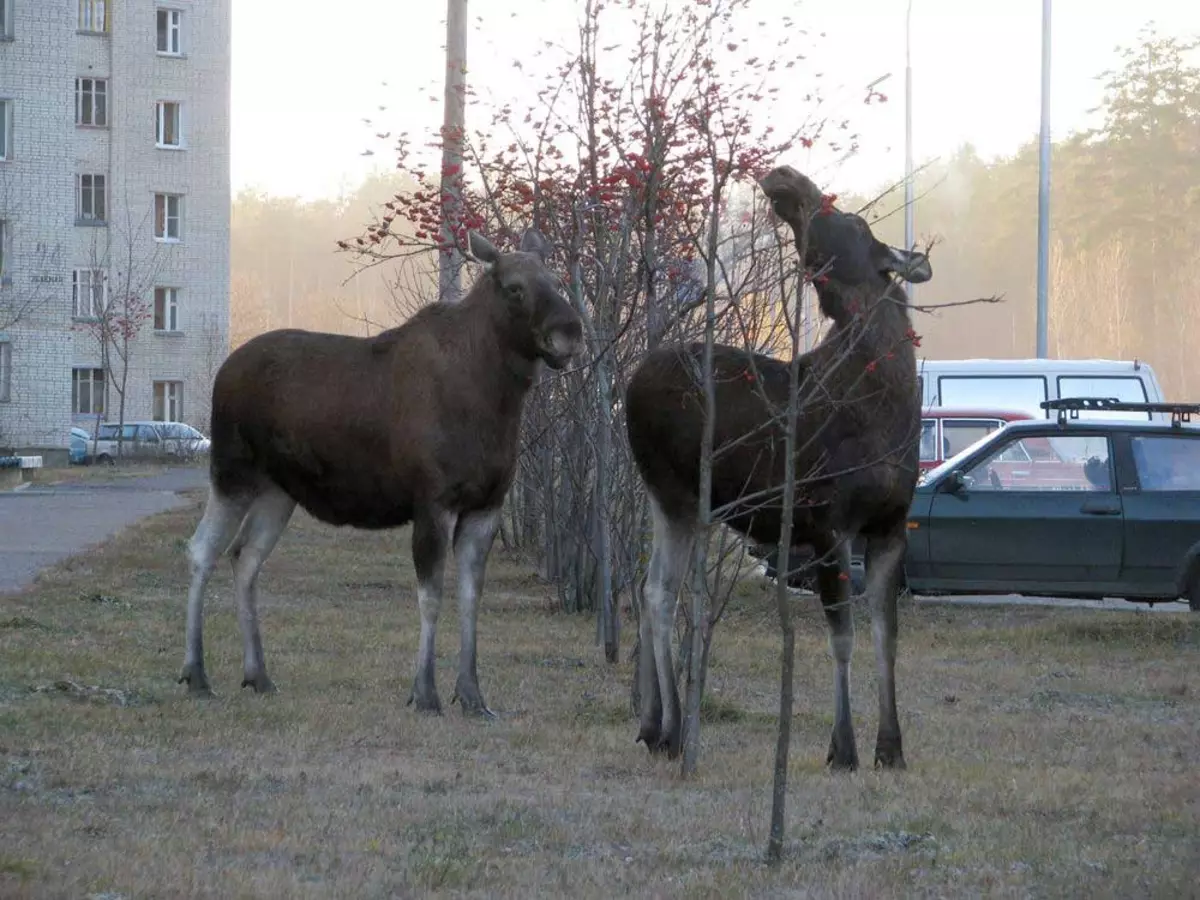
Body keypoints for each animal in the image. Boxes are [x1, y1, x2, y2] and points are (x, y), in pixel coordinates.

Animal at [178, 226, 585, 720]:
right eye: (514, 288)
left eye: (556, 278)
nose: (569, 331)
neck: (496, 401)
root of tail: (222, 372)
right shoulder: (433, 502)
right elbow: (431, 597)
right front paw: (425, 693)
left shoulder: (487, 506)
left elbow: (471, 599)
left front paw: (472, 695)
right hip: (231, 472)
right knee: (202, 550)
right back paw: (196, 674)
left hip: (279, 490)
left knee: (245, 556)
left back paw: (258, 675)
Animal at [624, 165, 931, 772]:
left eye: (853, 220)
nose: (786, 178)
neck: (887, 402)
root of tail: (626, 386)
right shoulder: (829, 524)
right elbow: (844, 639)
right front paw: (843, 748)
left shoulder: (890, 526)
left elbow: (887, 637)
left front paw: (892, 747)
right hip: (678, 493)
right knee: (659, 593)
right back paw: (673, 730)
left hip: (663, 497)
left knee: (650, 586)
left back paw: (651, 724)